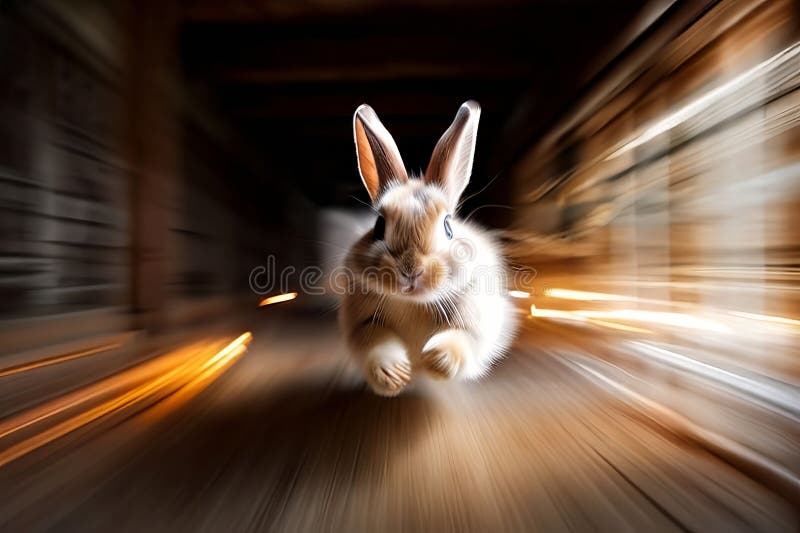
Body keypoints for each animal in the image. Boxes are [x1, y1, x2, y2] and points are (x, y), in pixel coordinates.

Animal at [339, 101, 518, 396]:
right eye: (379, 226)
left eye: (448, 227)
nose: (411, 269)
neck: (414, 303)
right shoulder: (363, 325)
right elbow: (377, 345)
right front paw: (395, 375)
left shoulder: (475, 322)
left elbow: (460, 340)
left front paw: (435, 361)